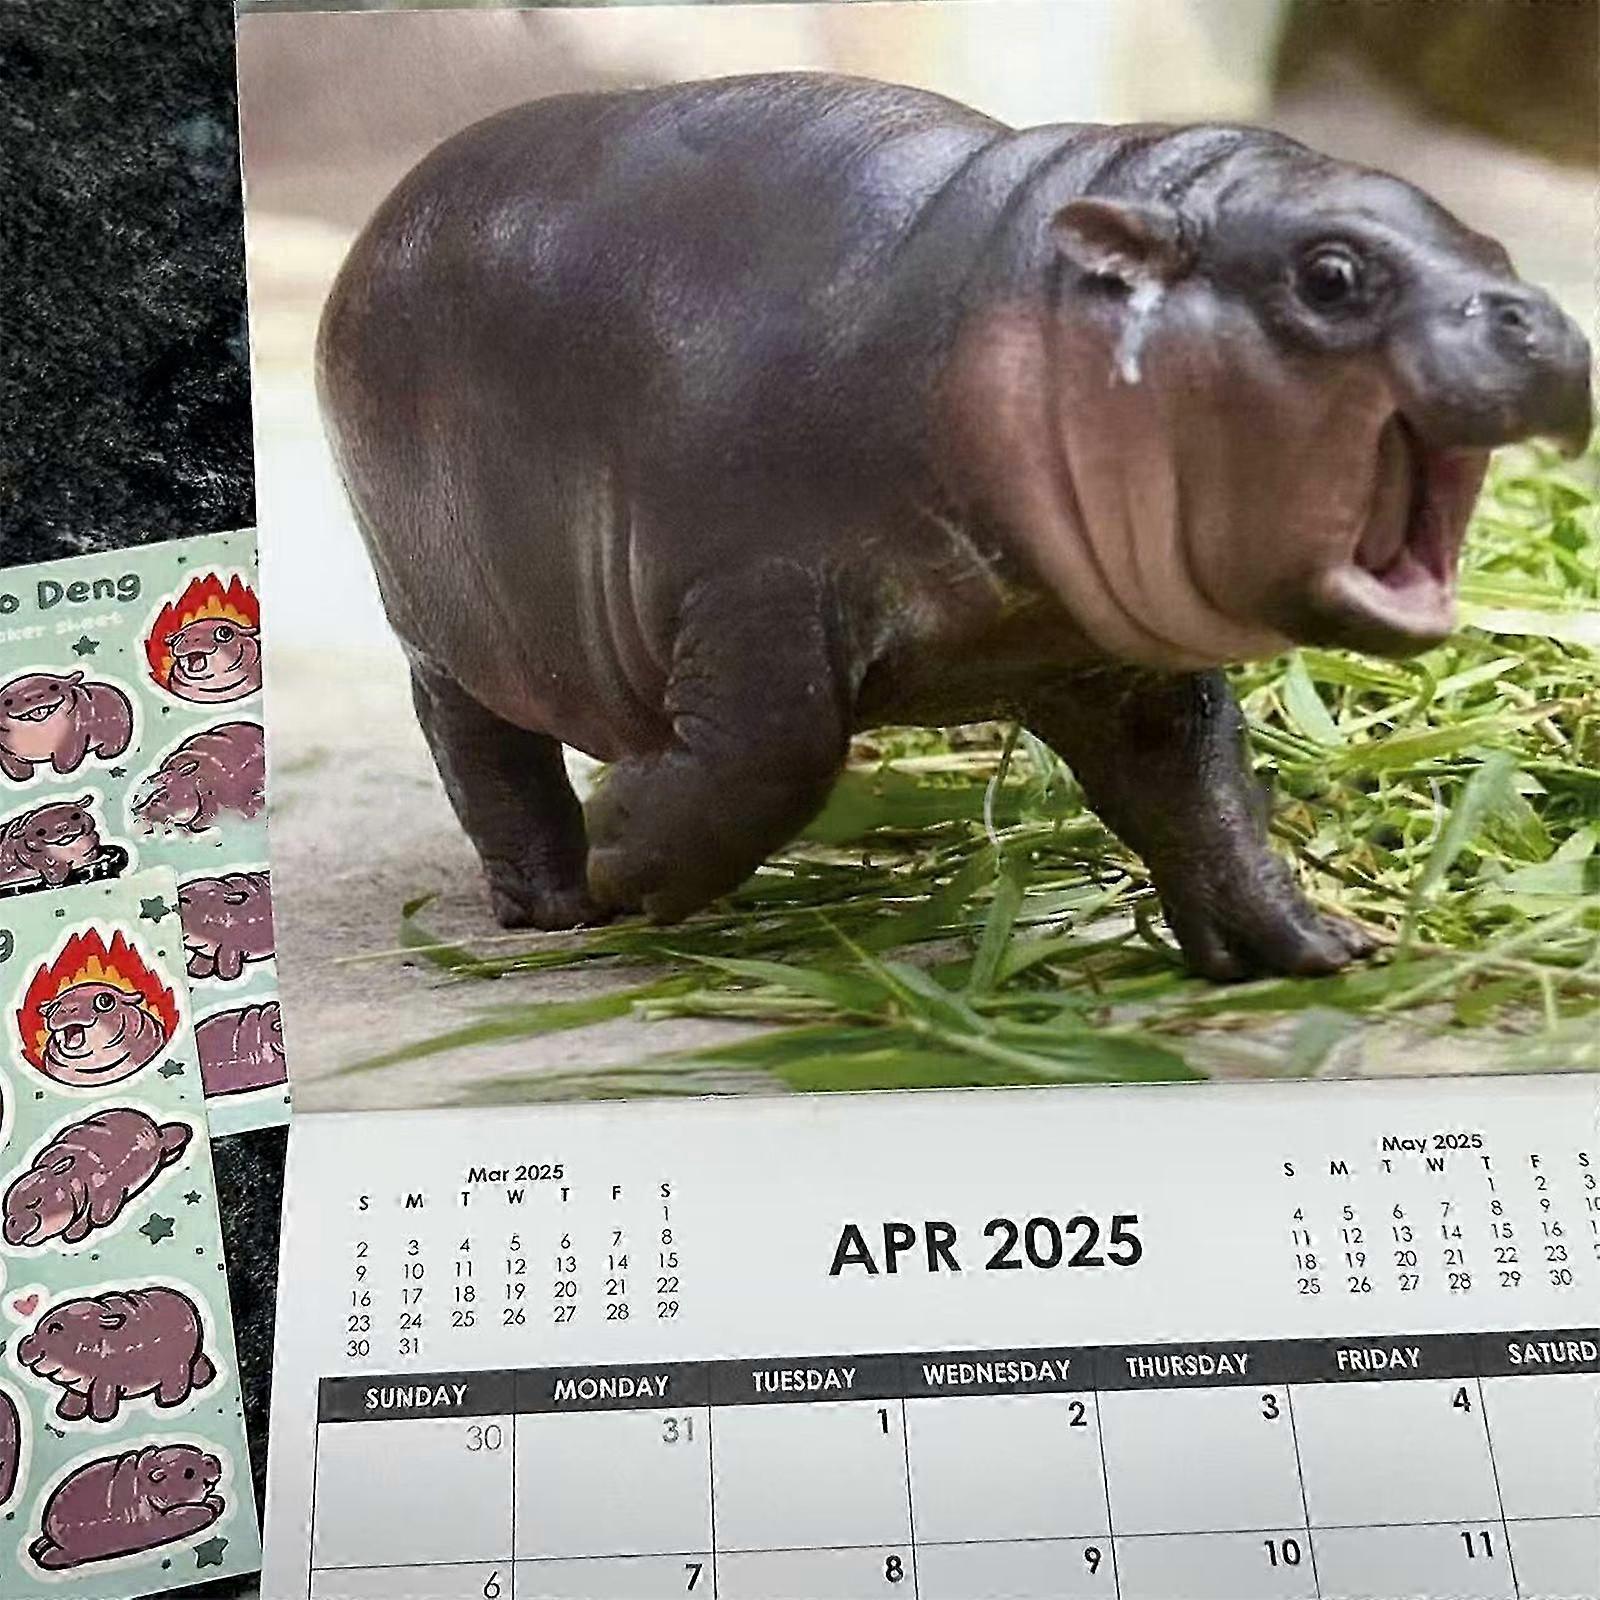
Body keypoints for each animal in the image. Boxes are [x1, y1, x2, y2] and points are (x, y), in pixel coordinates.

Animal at [0, 672, 132, 784]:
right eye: (8, 702)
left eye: (54, 687)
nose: (33, 696)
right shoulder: (6, 752)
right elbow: (13, 765)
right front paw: (21, 775)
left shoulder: (72, 736)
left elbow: (69, 756)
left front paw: (63, 768)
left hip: (119, 727)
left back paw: (106, 752)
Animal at [2, 1108, 192, 1248]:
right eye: (8, 1210)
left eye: (33, 1203)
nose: (12, 1233)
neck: (73, 1179)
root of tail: (157, 1131)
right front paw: (75, 1232)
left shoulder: (108, 1189)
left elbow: (98, 1214)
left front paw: (87, 1225)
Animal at [17, 1286, 216, 1424]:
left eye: (55, 1328)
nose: (25, 1344)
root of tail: (185, 1303)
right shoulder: (79, 1389)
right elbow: (74, 1398)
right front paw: (67, 1412)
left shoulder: (105, 1382)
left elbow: (101, 1401)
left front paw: (101, 1417)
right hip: (191, 1357)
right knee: (199, 1363)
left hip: (175, 1365)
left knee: (176, 1383)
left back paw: (169, 1400)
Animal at [28, 1442, 223, 1570]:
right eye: (189, 1473)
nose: (212, 1460)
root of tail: (48, 1526)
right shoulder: (153, 1520)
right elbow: (186, 1515)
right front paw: (209, 1507)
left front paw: (214, 1501)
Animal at [319, 74, 1592, 979]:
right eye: (1330, 274)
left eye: (1496, 248)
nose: (1539, 322)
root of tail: (375, 228)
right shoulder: (758, 592)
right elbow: (773, 754)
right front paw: (625, 846)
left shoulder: (1104, 658)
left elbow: (1201, 791)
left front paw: (1313, 948)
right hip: (443, 618)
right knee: (477, 741)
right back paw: (557, 899)